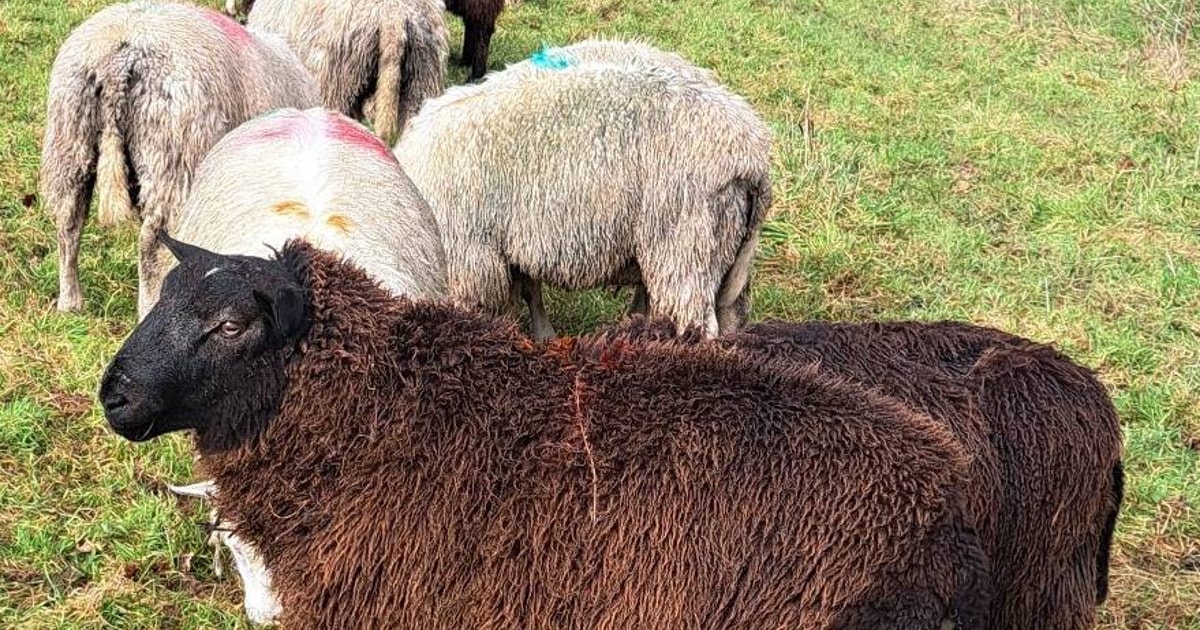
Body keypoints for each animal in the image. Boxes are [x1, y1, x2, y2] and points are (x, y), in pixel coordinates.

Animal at [40, 0, 320, 315]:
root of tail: (120, 57)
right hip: (172, 156)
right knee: (154, 246)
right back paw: (149, 304)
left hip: (70, 137)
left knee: (68, 220)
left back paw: (70, 302)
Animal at [394, 40, 772, 341]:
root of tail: (752, 150)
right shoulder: (514, 245)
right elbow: (531, 291)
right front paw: (543, 336)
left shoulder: (470, 262)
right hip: (723, 251)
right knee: (730, 319)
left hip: (685, 245)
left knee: (699, 326)